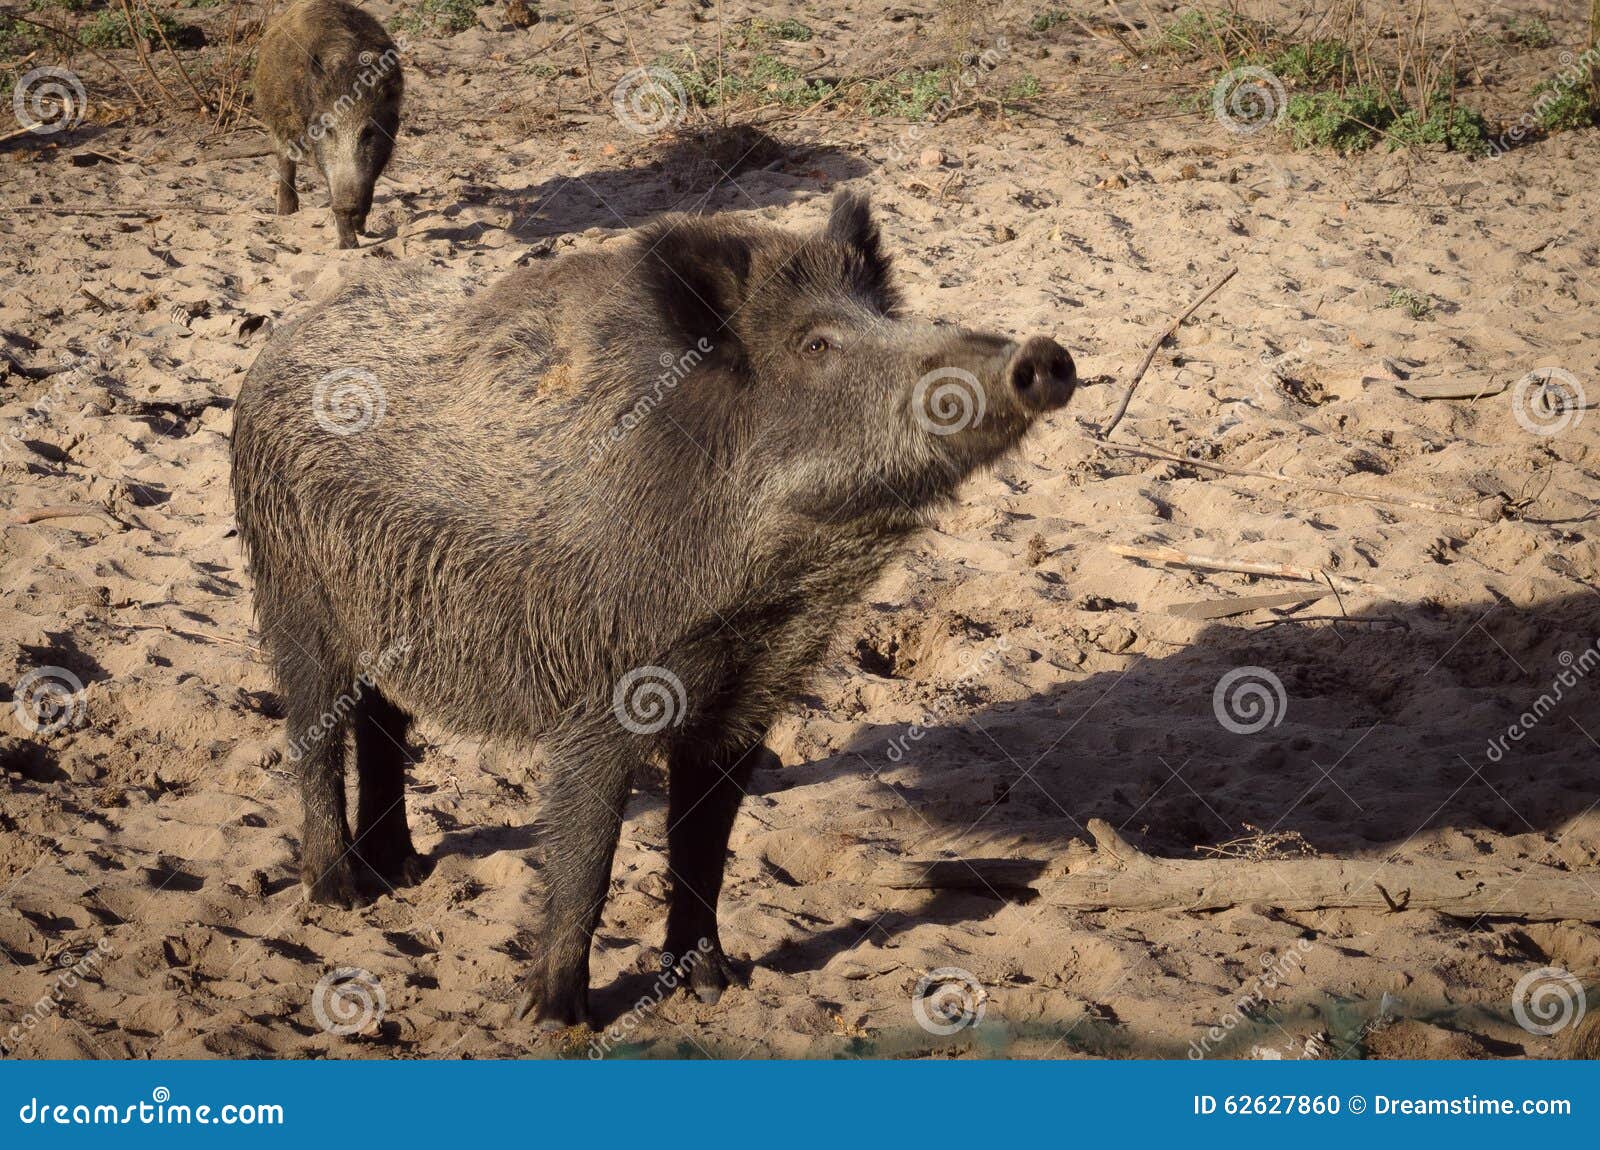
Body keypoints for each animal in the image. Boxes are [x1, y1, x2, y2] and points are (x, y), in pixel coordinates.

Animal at [230, 191, 1076, 1027]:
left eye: (880, 315)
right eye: (815, 342)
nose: (1043, 356)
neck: (770, 592)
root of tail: (278, 344)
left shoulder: (744, 705)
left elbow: (704, 847)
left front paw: (716, 987)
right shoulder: (602, 696)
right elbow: (588, 857)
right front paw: (555, 1019)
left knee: (383, 724)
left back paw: (403, 871)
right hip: (291, 594)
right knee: (313, 731)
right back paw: (340, 894)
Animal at [253, 0, 402, 249]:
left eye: (368, 132)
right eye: (328, 129)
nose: (348, 204)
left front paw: (359, 232)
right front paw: (348, 247)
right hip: (275, 116)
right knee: (285, 159)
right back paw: (285, 212)